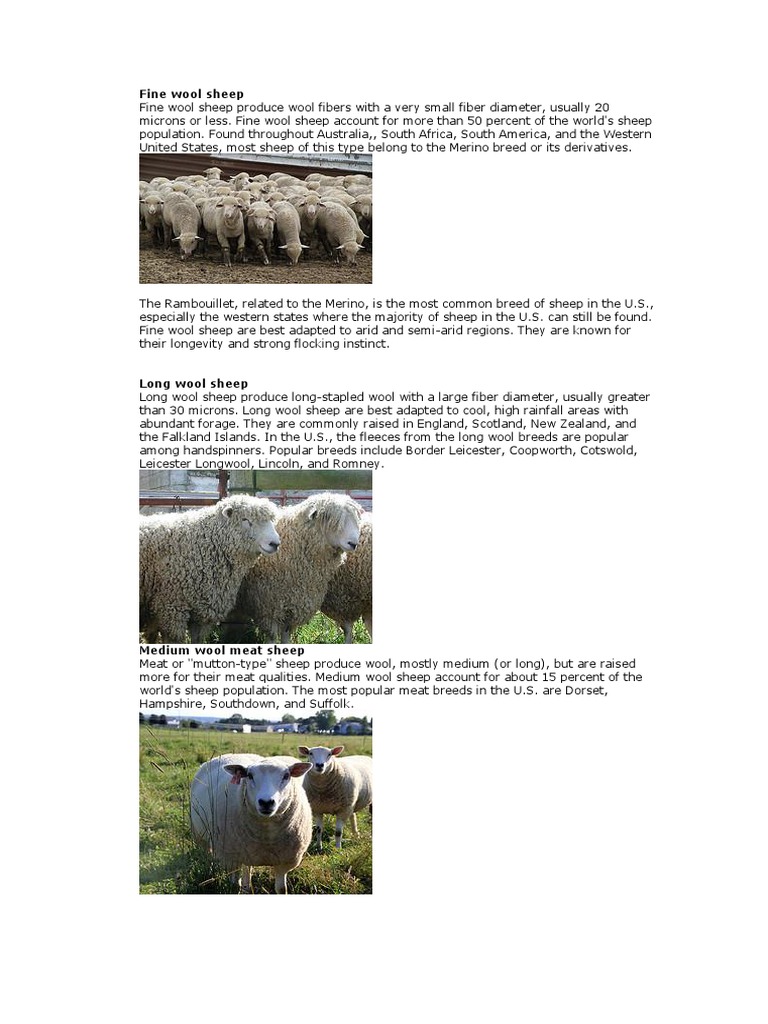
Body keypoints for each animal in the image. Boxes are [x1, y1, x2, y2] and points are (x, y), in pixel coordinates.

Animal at [190, 754, 313, 894]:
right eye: (249, 776)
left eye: (286, 775)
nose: (266, 802)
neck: (266, 836)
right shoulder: (231, 858)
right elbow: (234, 887)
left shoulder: (285, 861)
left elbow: (281, 889)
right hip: (200, 835)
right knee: (208, 855)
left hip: (247, 850)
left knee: (247, 867)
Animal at [225, 492, 363, 643]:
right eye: (333, 521)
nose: (354, 544)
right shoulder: (268, 606)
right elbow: (272, 638)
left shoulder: (292, 605)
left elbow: (286, 635)